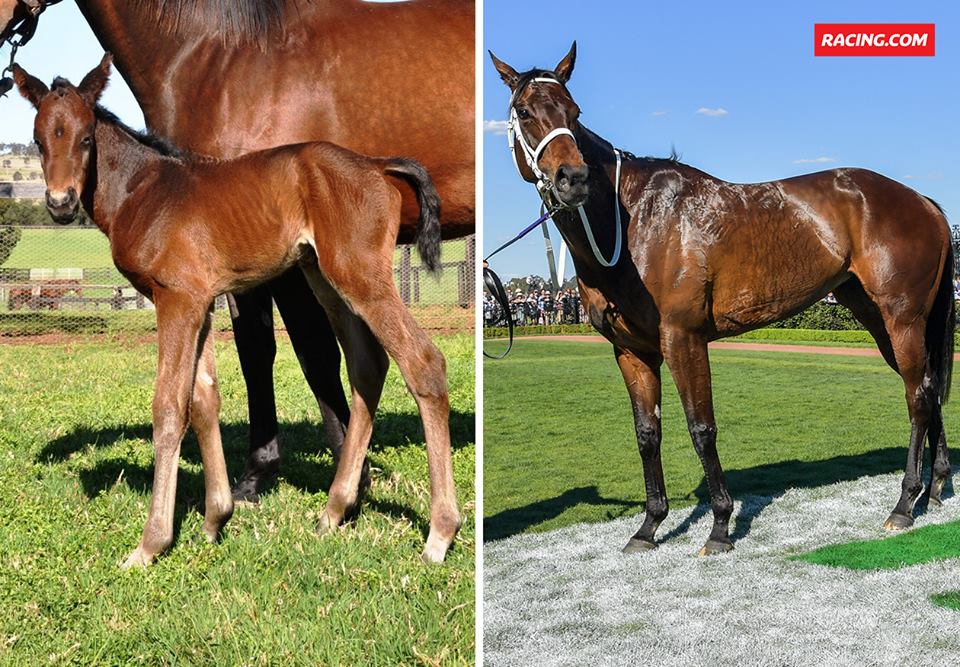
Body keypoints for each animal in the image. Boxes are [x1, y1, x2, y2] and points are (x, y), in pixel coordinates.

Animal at [1, 0, 475, 503]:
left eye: (86, 138)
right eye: (38, 140)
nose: (60, 202)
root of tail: (379, 166)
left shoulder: (207, 290)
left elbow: (280, 357)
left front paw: (262, 478)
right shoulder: (208, 295)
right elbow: (215, 386)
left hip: (353, 275)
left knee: (419, 363)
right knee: (371, 363)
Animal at [488, 43, 955, 556]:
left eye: (574, 112)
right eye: (525, 112)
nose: (573, 177)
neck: (633, 220)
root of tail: (924, 202)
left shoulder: (683, 337)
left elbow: (701, 428)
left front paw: (719, 525)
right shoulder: (632, 350)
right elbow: (647, 433)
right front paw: (649, 526)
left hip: (902, 317)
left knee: (917, 396)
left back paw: (904, 502)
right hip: (877, 316)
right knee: (929, 387)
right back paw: (935, 485)